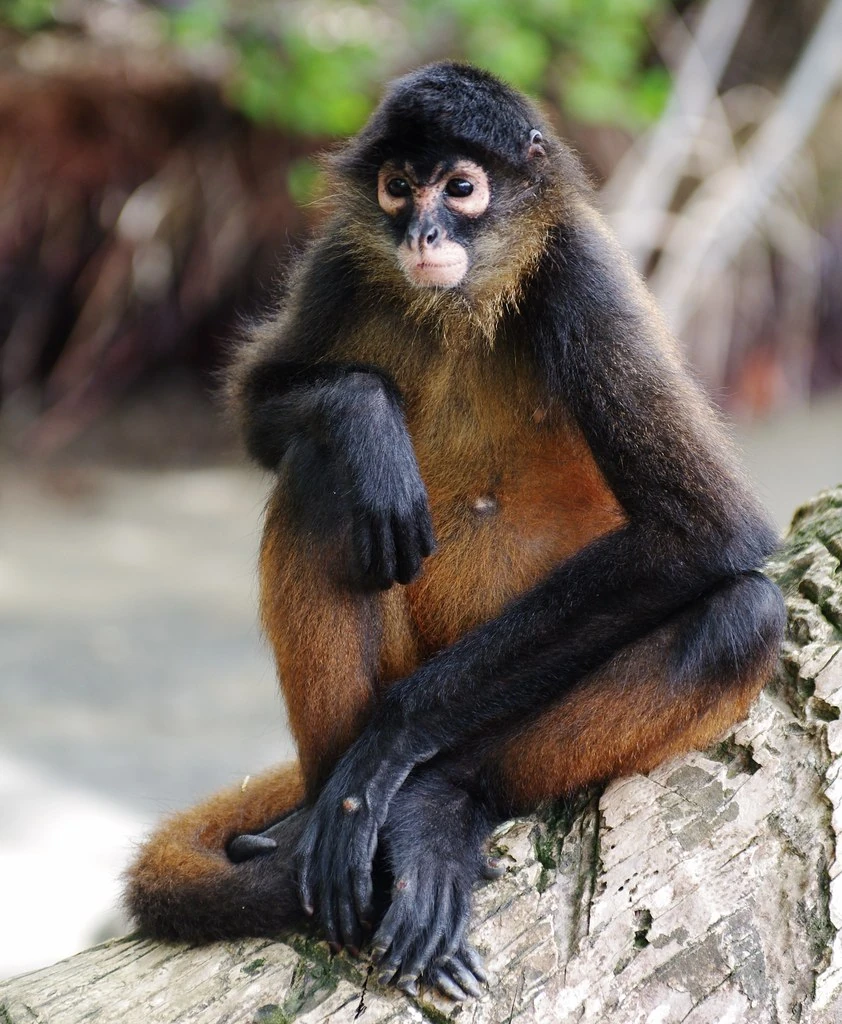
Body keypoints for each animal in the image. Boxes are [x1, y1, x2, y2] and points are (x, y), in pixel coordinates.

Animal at [124, 62, 786, 1001]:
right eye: (400, 188)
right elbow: (260, 416)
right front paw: (364, 417)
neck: (459, 301)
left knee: (741, 617)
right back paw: (315, 826)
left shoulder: (579, 269)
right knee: (321, 479)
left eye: (462, 188)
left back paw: (432, 805)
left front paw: (390, 751)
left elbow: (708, 530)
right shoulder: (339, 260)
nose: (424, 229)